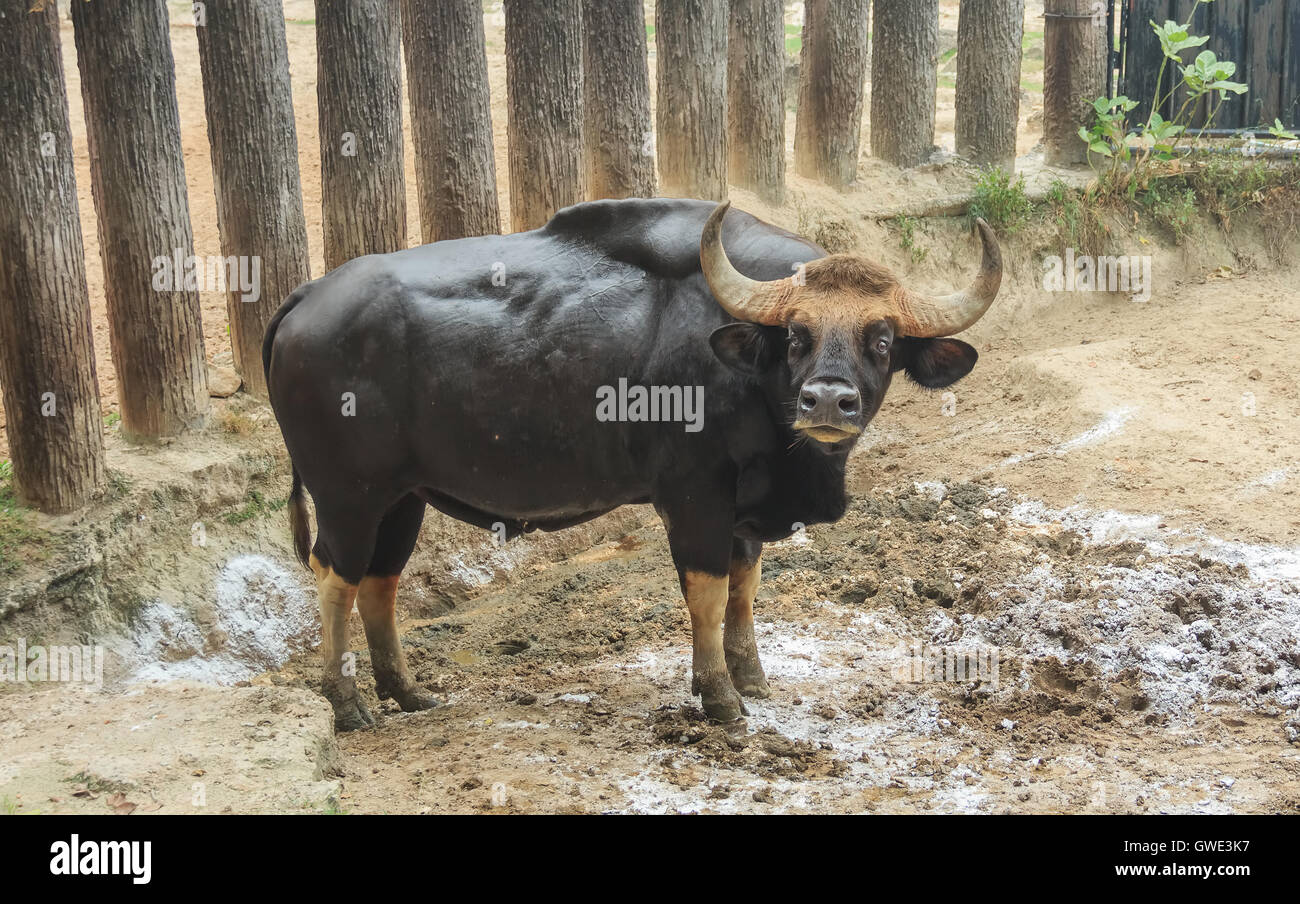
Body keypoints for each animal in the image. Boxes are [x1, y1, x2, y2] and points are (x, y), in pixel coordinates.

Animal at [263, 198, 1002, 730]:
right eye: (796, 335)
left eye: (882, 339)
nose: (827, 400)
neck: (748, 375)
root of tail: (307, 297)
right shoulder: (694, 497)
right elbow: (707, 592)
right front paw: (719, 696)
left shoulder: (743, 511)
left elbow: (746, 586)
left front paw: (752, 674)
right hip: (348, 495)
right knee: (335, 577)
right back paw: (346, 705)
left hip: (402, 498)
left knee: (379, 582)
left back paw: (407, 692)